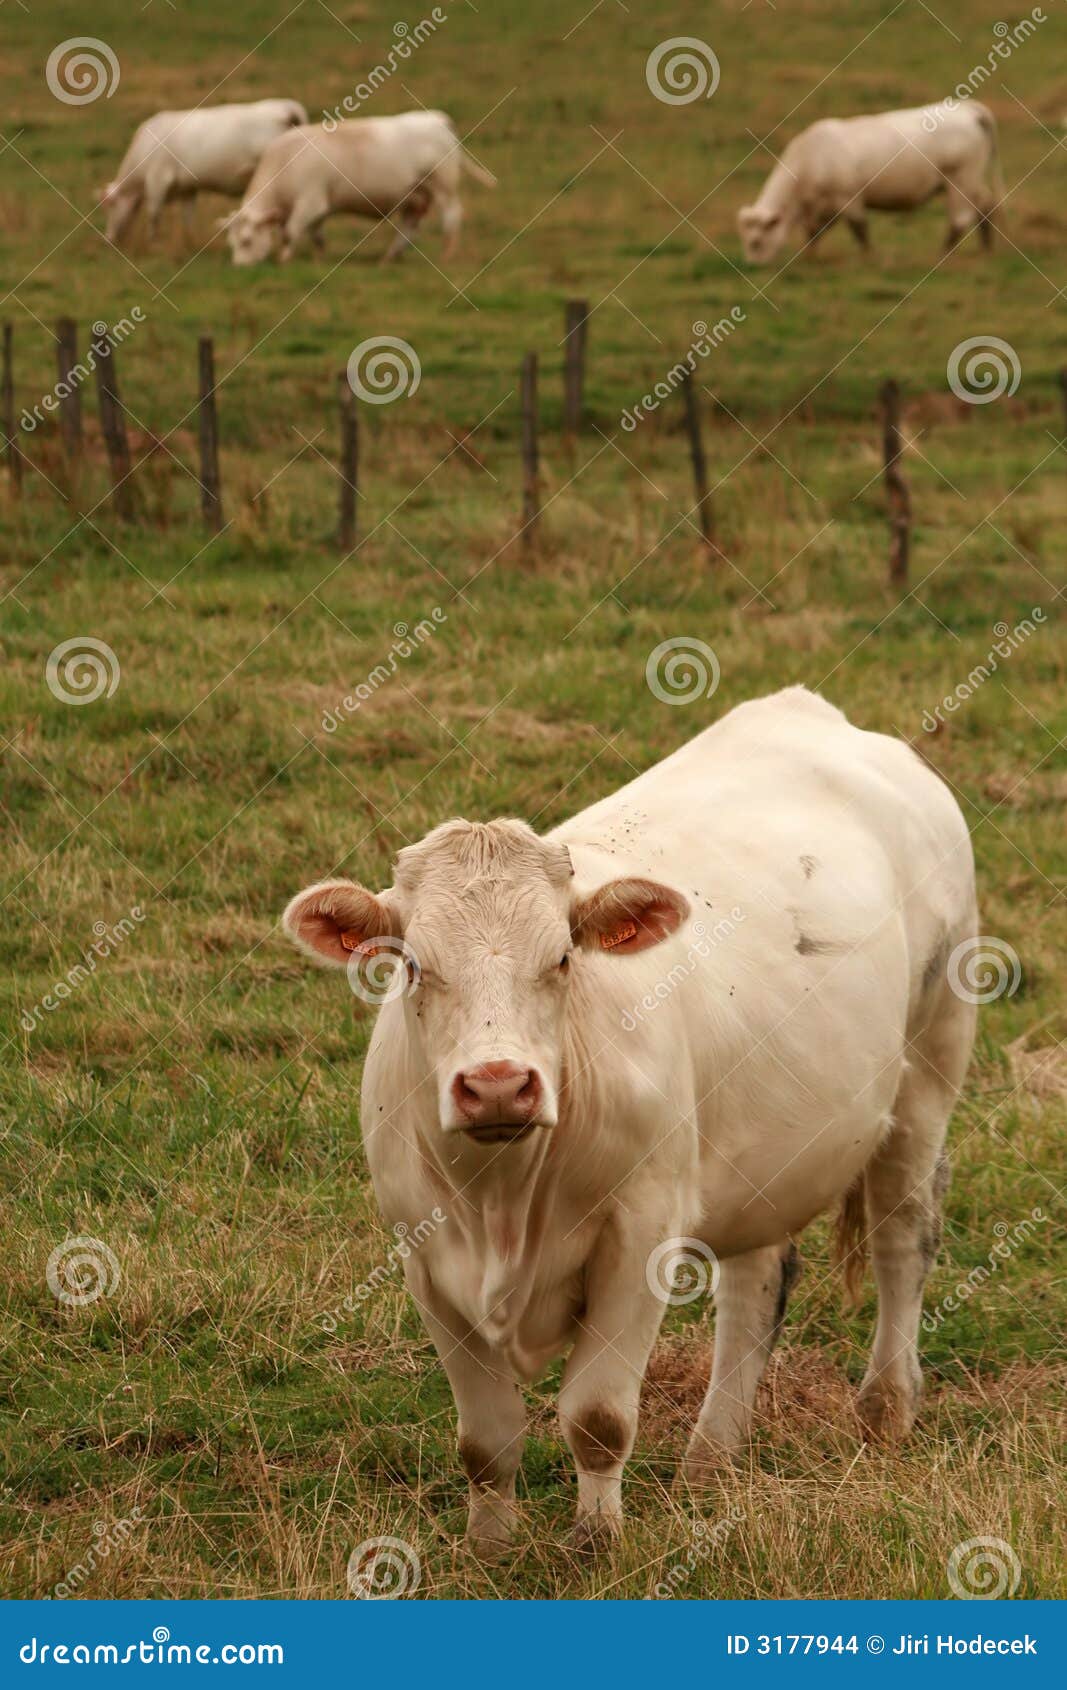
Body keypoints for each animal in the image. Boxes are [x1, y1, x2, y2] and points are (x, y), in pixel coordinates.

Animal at [98, 99, 308, 246]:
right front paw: (188, 241)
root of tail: (285, 108)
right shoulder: (188, 189)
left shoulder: (157, 180)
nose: (108, 238)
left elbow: (154, 213)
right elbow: (187, 217)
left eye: (110, 206)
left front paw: (153, 243)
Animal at [221, 110, 496, 265]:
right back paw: (389, 258)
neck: (284, 162)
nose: (239, 267)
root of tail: (436, 120)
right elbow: (316, 234)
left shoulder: (310, 202)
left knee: (451, 216)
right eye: (231, 243)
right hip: (415, 197)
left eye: (246, 241)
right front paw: (319, 258)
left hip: (443, 187)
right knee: (409, 227)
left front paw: (284, 259)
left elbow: (291, 231)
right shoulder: (317, 209)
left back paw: (446, 254)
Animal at [284, 687, 977, 1555]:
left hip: (928, 1069)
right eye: (411, 964)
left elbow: (597, 1419)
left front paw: (596, 1545)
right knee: (756, 1284)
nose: (499, 1085)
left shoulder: (637, 1235)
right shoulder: (424, 1257)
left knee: (902, 1234)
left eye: (562, 959)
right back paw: (710, 1462)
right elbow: (485, 1442)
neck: (503, 1202)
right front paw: (488, 1550)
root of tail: (808, 711)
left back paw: (883, 1410)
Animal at [738, 102, 1003, 263]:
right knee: (986, 206)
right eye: (746, 240)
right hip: (971, 182)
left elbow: (859, 228)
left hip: (960, 181)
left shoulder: (848, 197)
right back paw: (987, 249)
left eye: (756, 242)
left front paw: (869, 257)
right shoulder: (825, 207)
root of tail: (969, 110)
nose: (753, 266)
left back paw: (942, 254)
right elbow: (815, 232)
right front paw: (810, 256)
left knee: (960, 219)